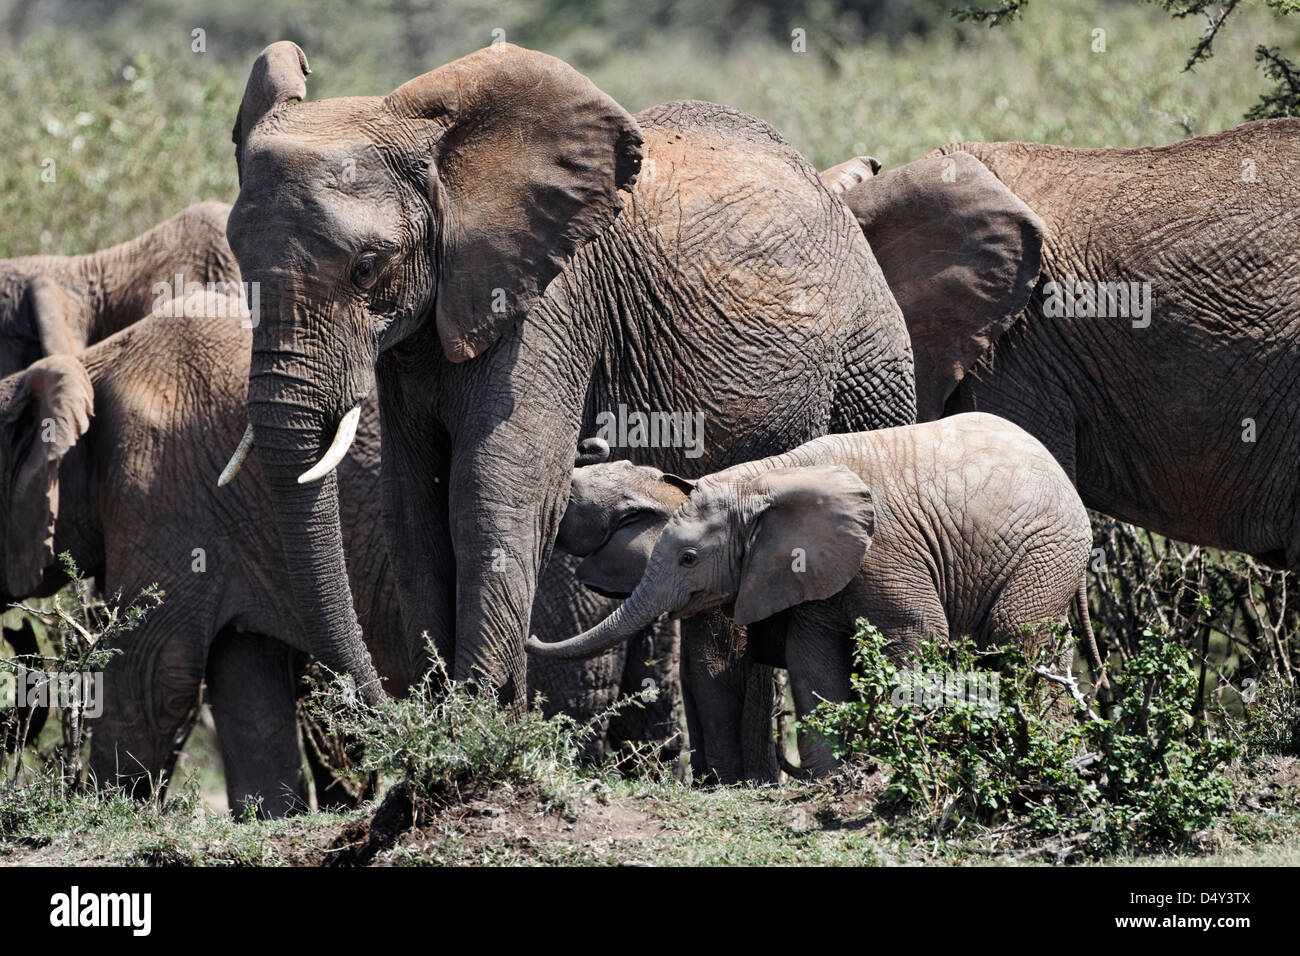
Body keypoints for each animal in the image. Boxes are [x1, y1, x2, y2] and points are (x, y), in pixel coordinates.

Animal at [217, 41, 916, 784]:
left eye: (367, 266)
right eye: (239, 268)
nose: (384, 711)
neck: (441, 154)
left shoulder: (553, 302)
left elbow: (495, 490)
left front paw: (472, 730)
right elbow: (416, 507)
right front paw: (446, 725)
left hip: (870, 355)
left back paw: (743, 780)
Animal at [529, 413, 1098, 776]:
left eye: (688, 558)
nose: (529, 638)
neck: (761, 479)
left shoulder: (885, 551)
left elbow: (915, 637)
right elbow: (810, 659)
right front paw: (832, 778)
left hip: (1044, 551)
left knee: (1016, 642)